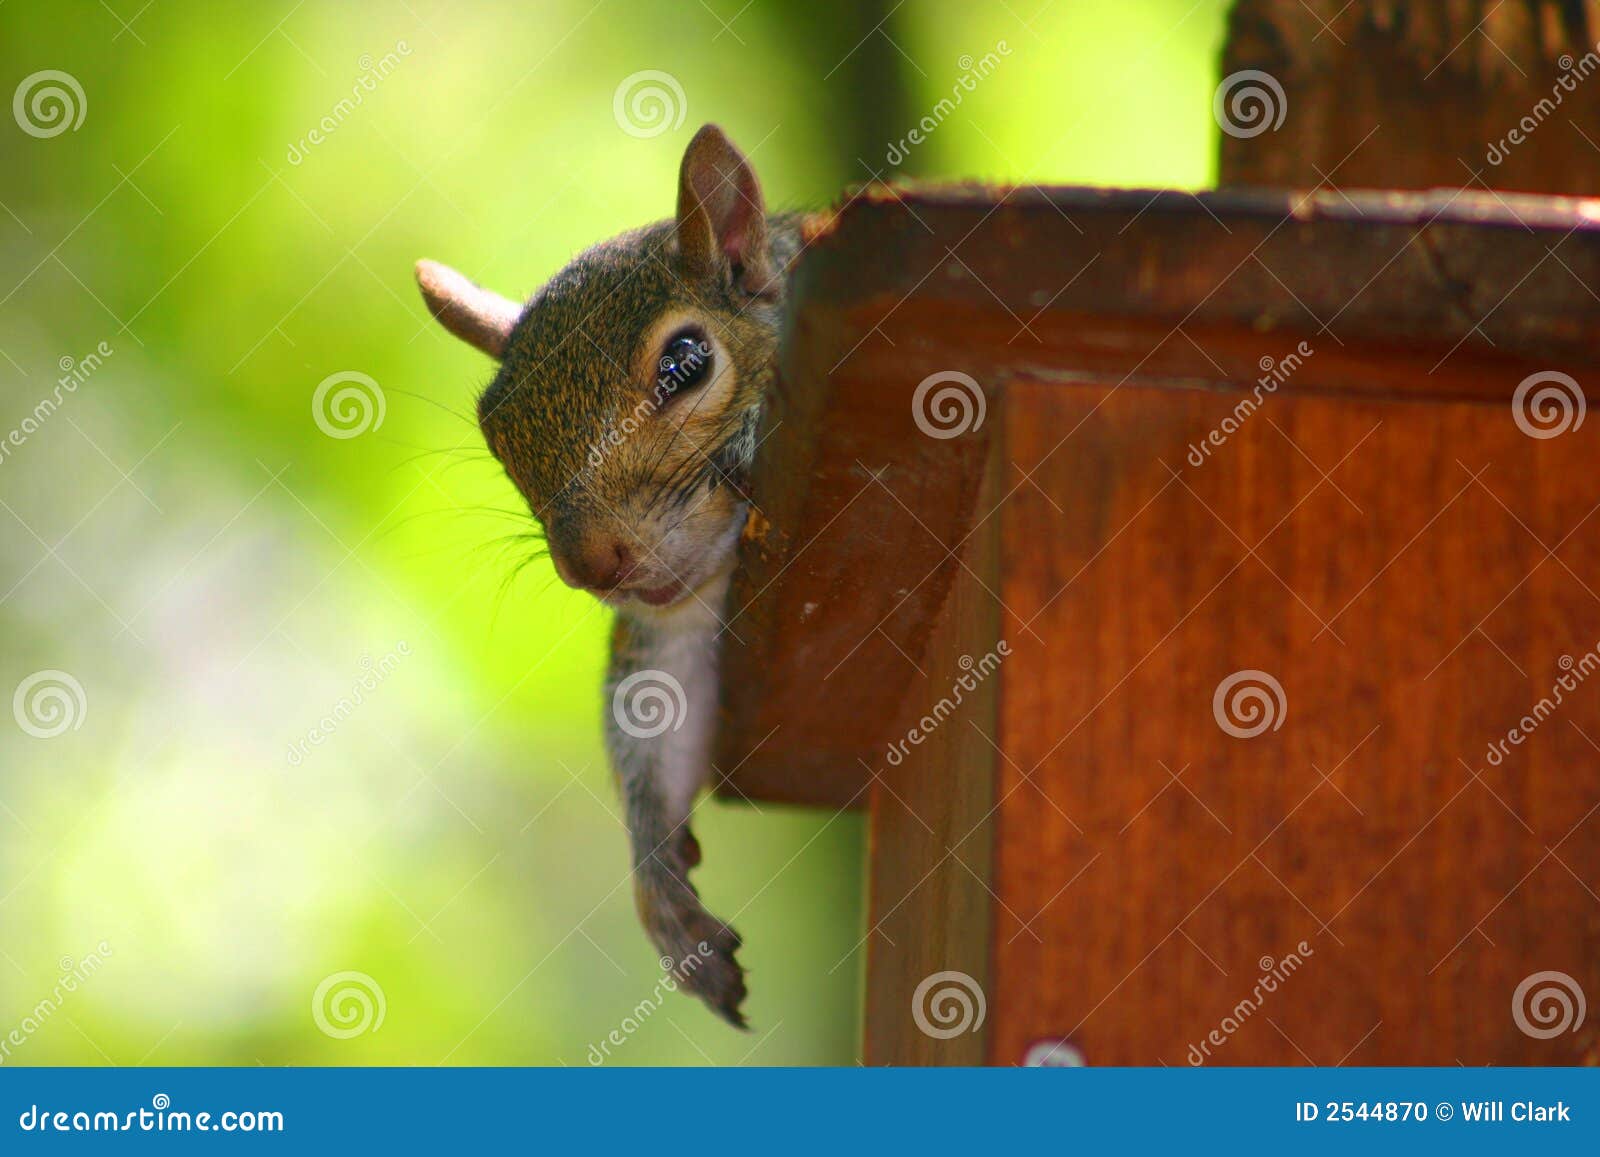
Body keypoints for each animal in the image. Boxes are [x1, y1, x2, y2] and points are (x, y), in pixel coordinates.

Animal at [414, 124, 806, 1028]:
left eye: (687, 363)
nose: (589, 563)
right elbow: (660, 718)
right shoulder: (678, 618)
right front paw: (662, 895)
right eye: (496, 434)